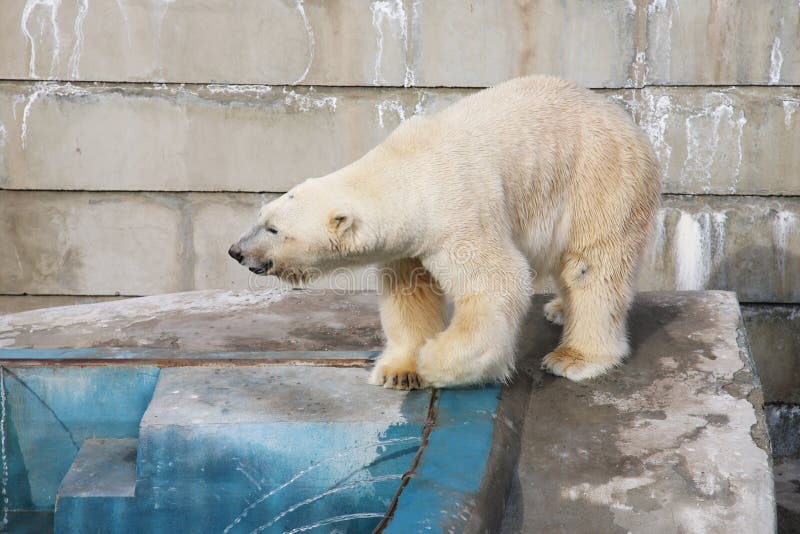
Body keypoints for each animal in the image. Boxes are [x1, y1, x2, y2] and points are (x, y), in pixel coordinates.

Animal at [228, 75, 660, 389]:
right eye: (261, 215)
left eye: (273, 229)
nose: (237, 251)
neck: (408, 168)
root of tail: (624, 118)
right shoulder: (407, 242)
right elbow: (409, 294)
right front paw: (399, 371)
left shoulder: (459, 213)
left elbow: (497, 282)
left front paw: (434, 361)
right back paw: (557, 308)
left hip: (600, 178)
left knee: (593, 266)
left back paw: (575, 357)